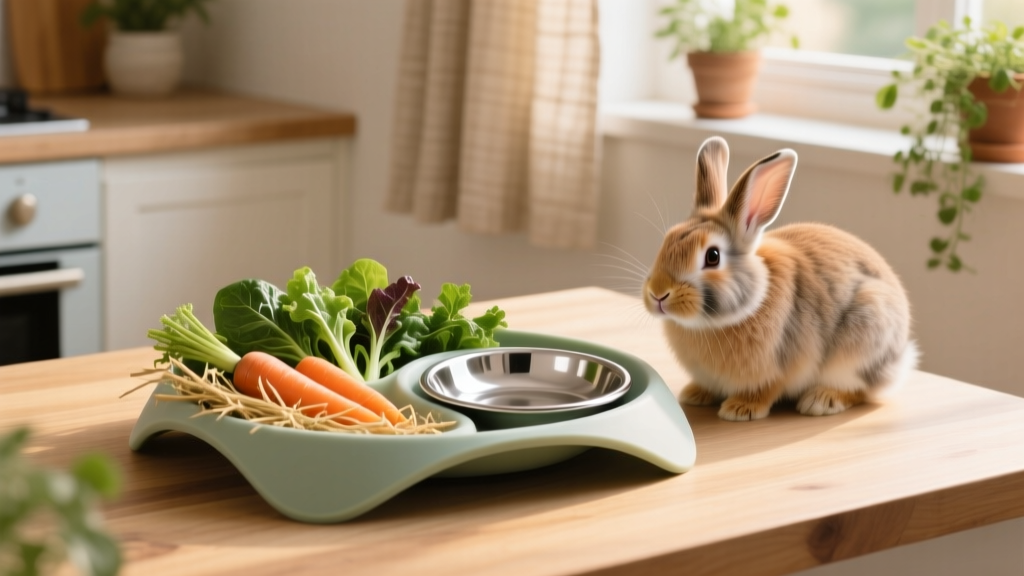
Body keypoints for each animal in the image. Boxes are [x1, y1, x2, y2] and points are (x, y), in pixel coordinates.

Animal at [642, 136, 918, 421]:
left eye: (713, 256)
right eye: (667, 240)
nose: (658, 293)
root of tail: (901, 355)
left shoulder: (781, 368)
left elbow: (768, 389)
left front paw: (740, 409)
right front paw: (695, 394)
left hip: (862, 341)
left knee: (861, 389)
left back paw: (821, 400)